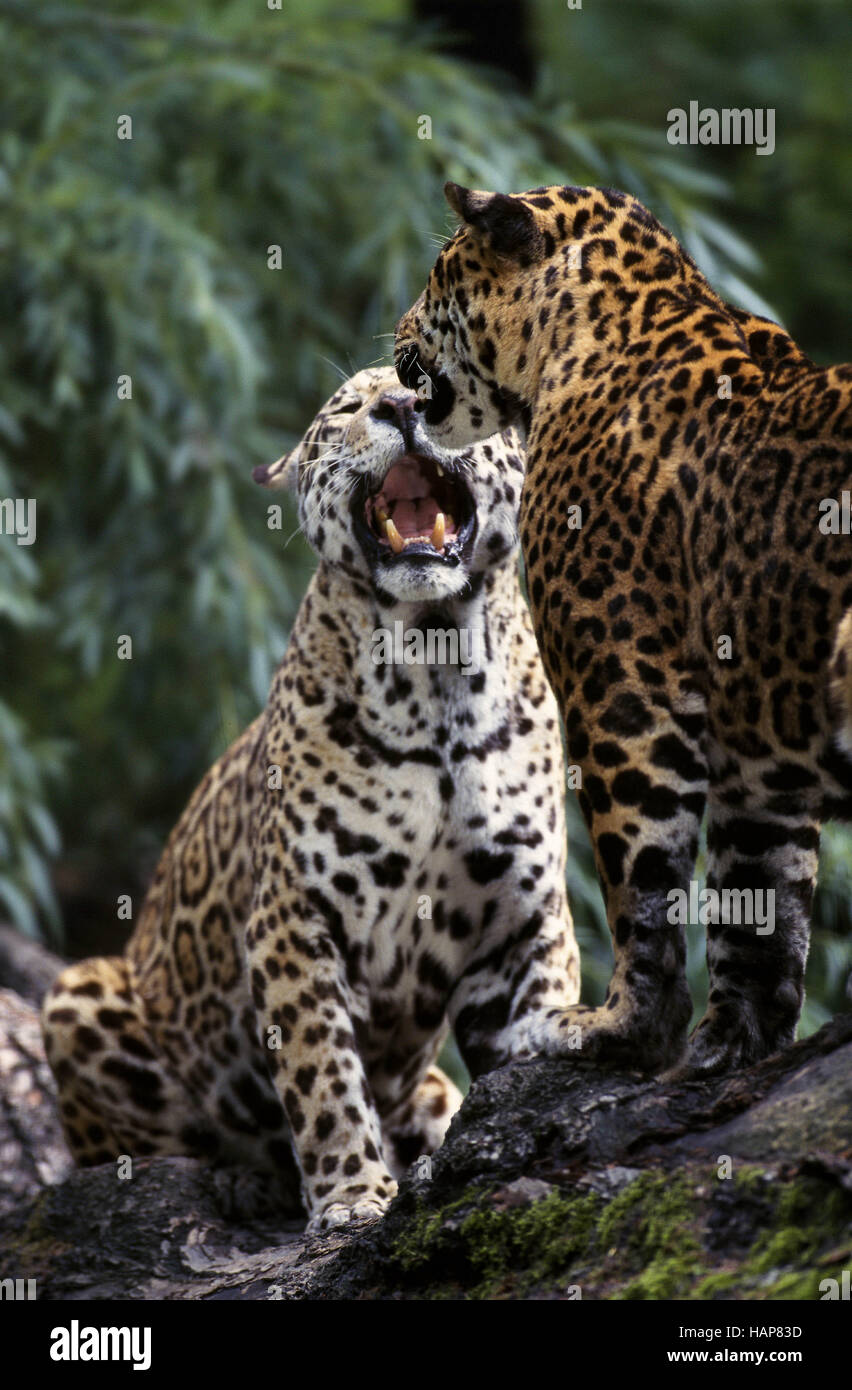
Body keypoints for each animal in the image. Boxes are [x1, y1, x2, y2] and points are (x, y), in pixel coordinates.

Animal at [41, 365, 581, 1231]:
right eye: (349, 408)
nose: (403, 405)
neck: (437, 668)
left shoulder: (522, 913)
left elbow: (530, 1030)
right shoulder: (292, 917)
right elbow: (322, 1073)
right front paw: (354, 1196)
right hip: (78, 994)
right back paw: (243, 1181)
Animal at [395, 181, 852, 1079]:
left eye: (435, 277)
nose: (395, 343)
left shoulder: (626, 686)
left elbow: (643, 876)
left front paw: (619, 1029)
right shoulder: (755, 726)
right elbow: (763, 888)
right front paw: (734, 1042)